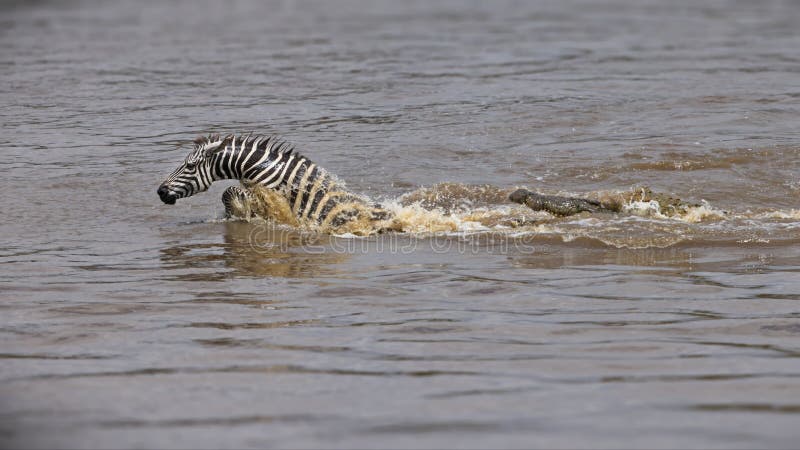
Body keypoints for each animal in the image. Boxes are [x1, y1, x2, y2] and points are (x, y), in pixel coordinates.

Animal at [157, 134, 394, 234]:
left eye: (189, 166)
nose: (160, 191)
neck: (260, 166)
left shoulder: (270, 193)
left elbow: (229, 191)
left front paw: (243, 213)